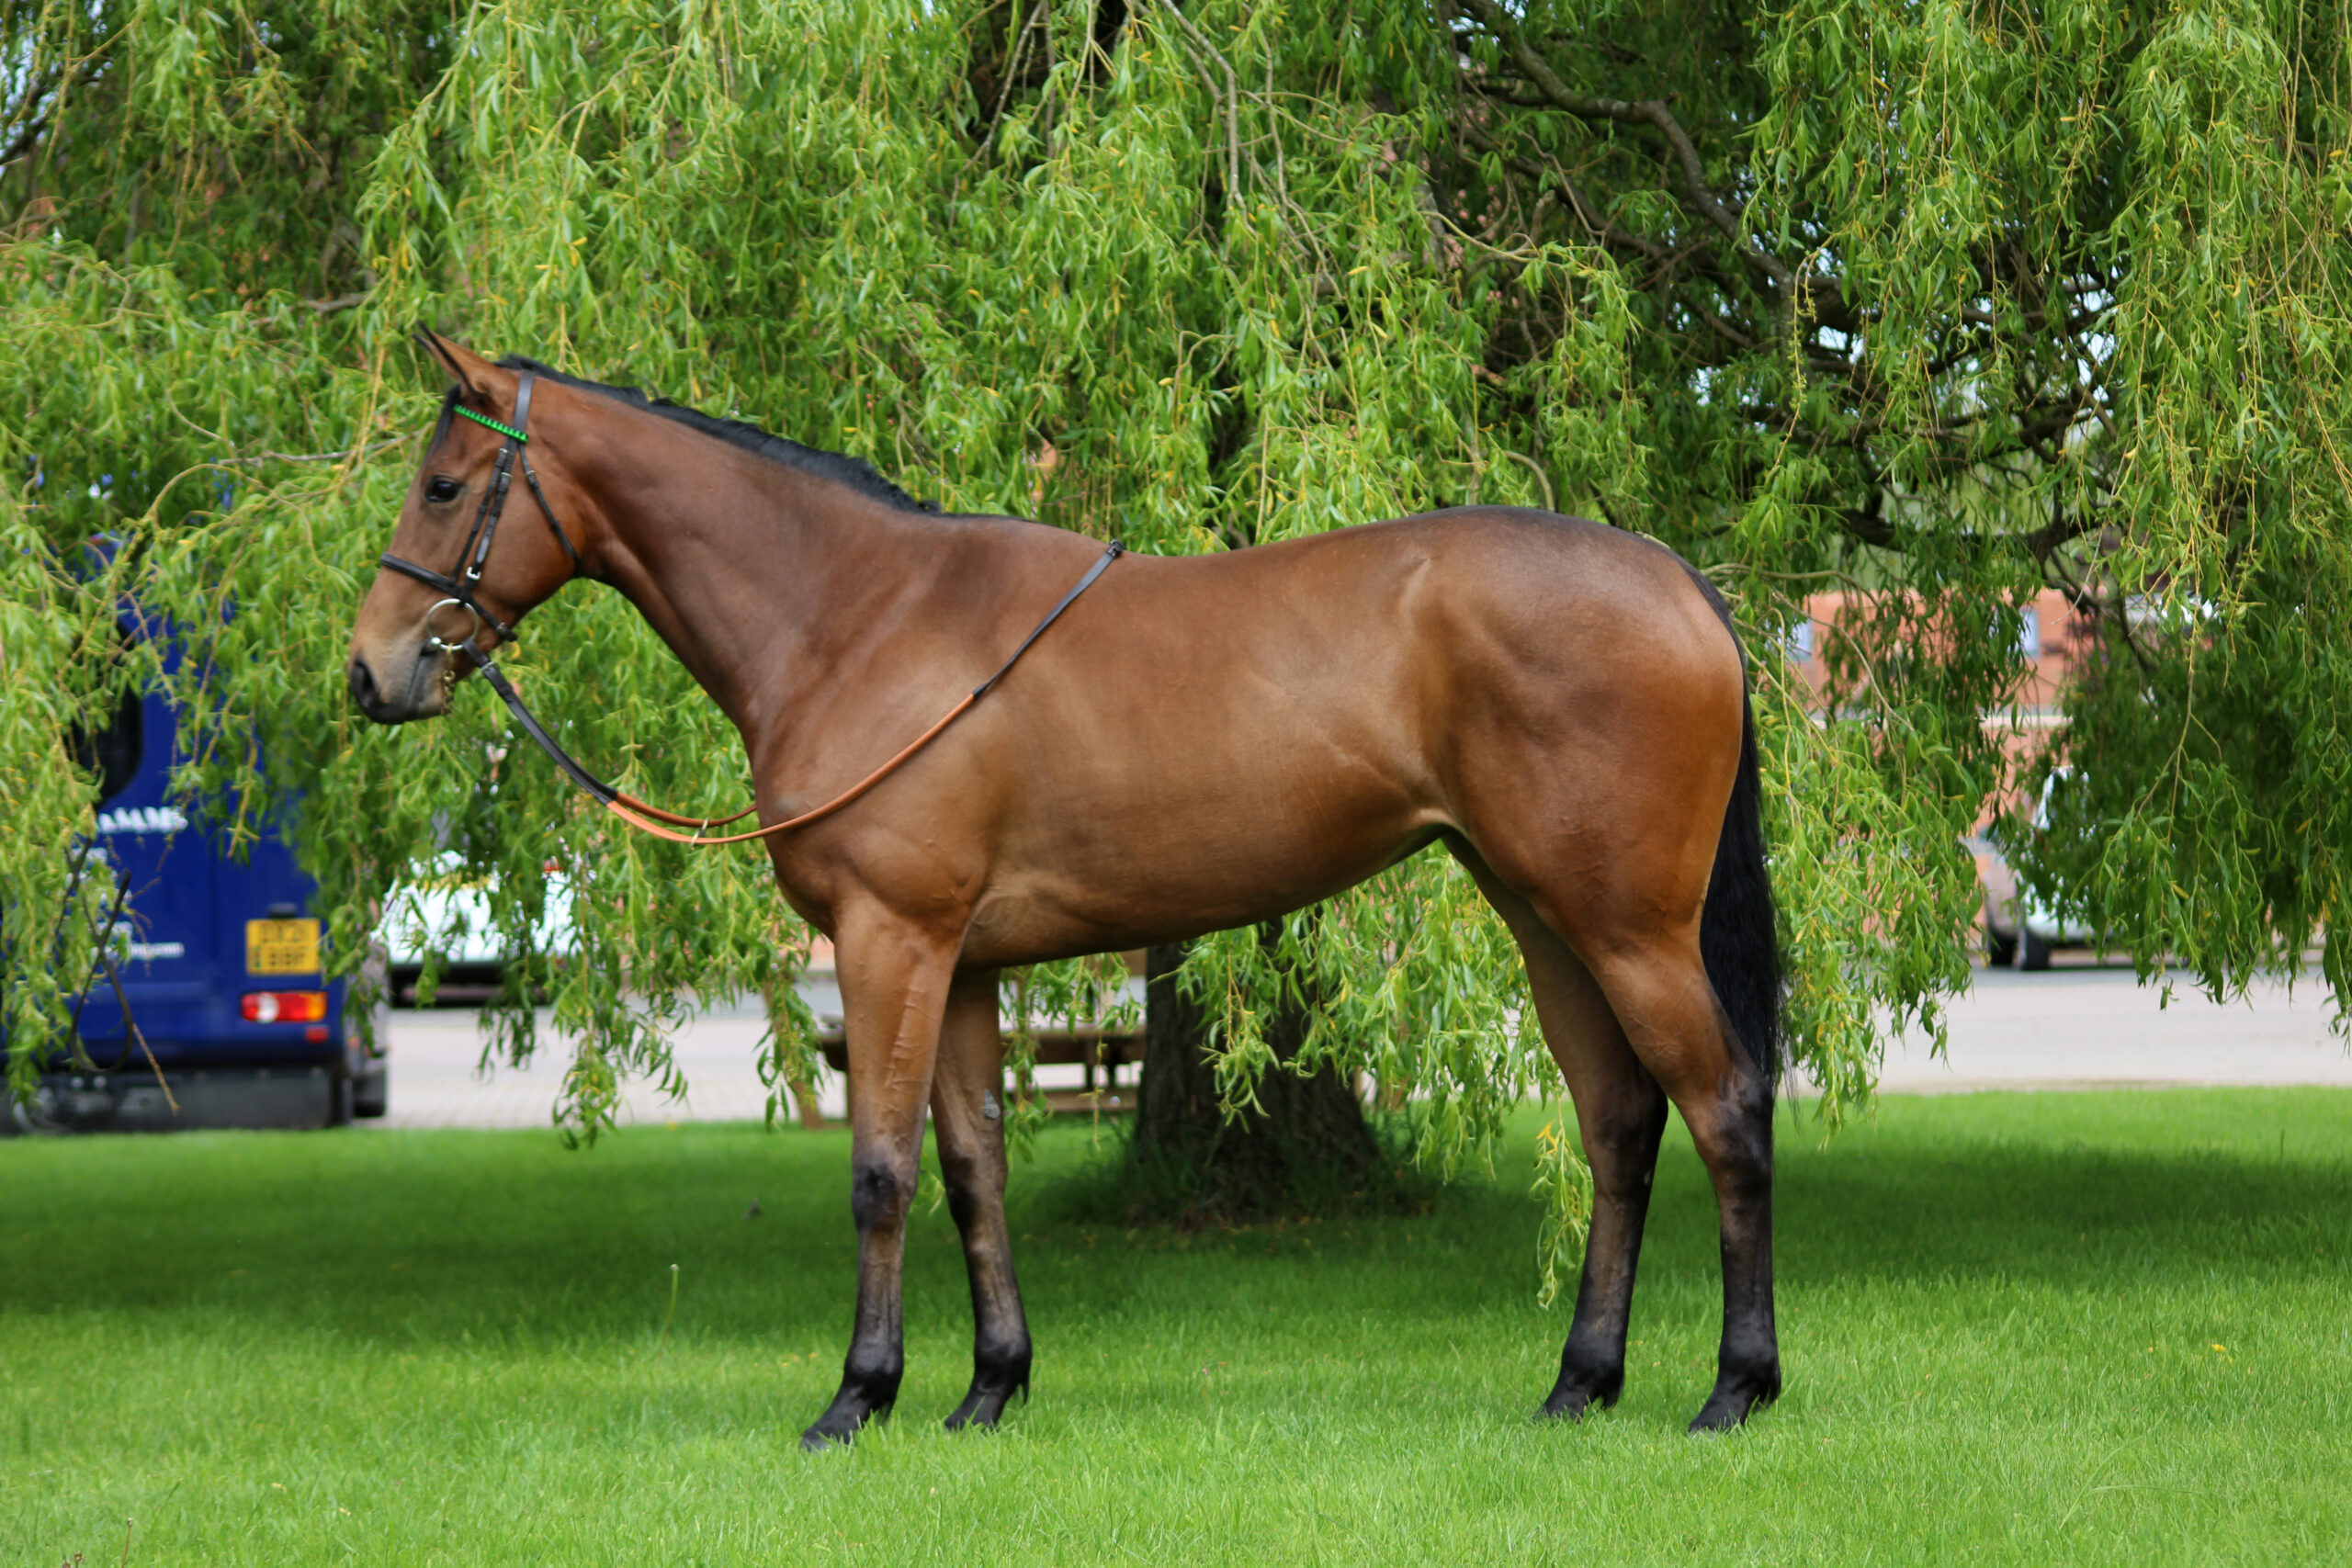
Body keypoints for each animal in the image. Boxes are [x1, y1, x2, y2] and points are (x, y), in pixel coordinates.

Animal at [346, 332, 1784, 1445]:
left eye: (443, 484)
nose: (371, 670)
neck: (854, 619)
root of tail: (1677, 583)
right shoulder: (962, 964)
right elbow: (972, 1163)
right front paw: (989, 1388)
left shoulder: (889, 942)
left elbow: (880, 1170)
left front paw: (857, 1397)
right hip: (1543, 918)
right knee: (1618, 1125)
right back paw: (1580, 1384)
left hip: (1628, 927)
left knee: (1723, 1110)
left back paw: (1735, 1388)